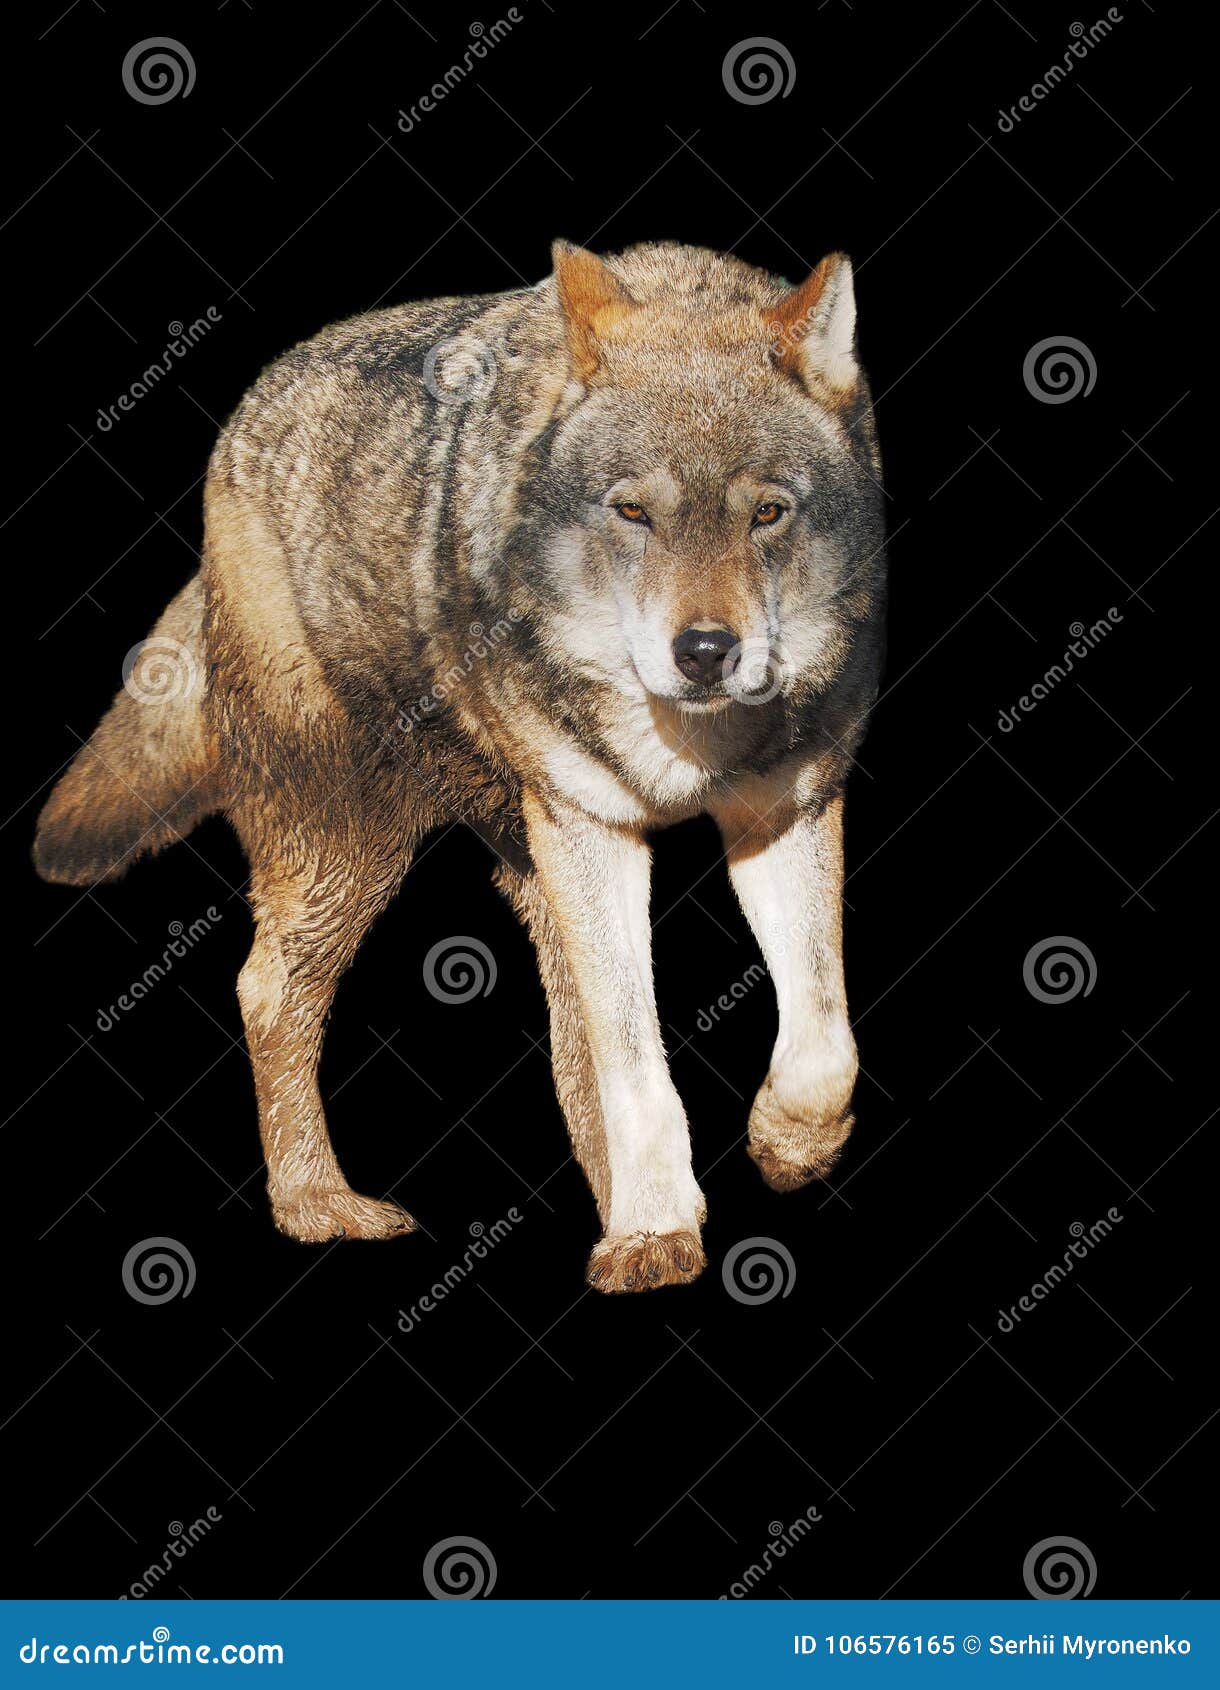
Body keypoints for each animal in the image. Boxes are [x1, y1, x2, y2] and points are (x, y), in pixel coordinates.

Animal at [35, 240, 886, 1293]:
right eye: (633, 513)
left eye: (768, 512)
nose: (704, 653)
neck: (693, 748)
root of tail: (242, 418)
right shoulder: (591, 827)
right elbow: (637, 1062)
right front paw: (652, 1235)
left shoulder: (786, 811)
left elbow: (823, 1038)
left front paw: (786, 1147)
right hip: (354, 856)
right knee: (268, 991)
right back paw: (320, 1208)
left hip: (515, 870)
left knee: (569, 1046)